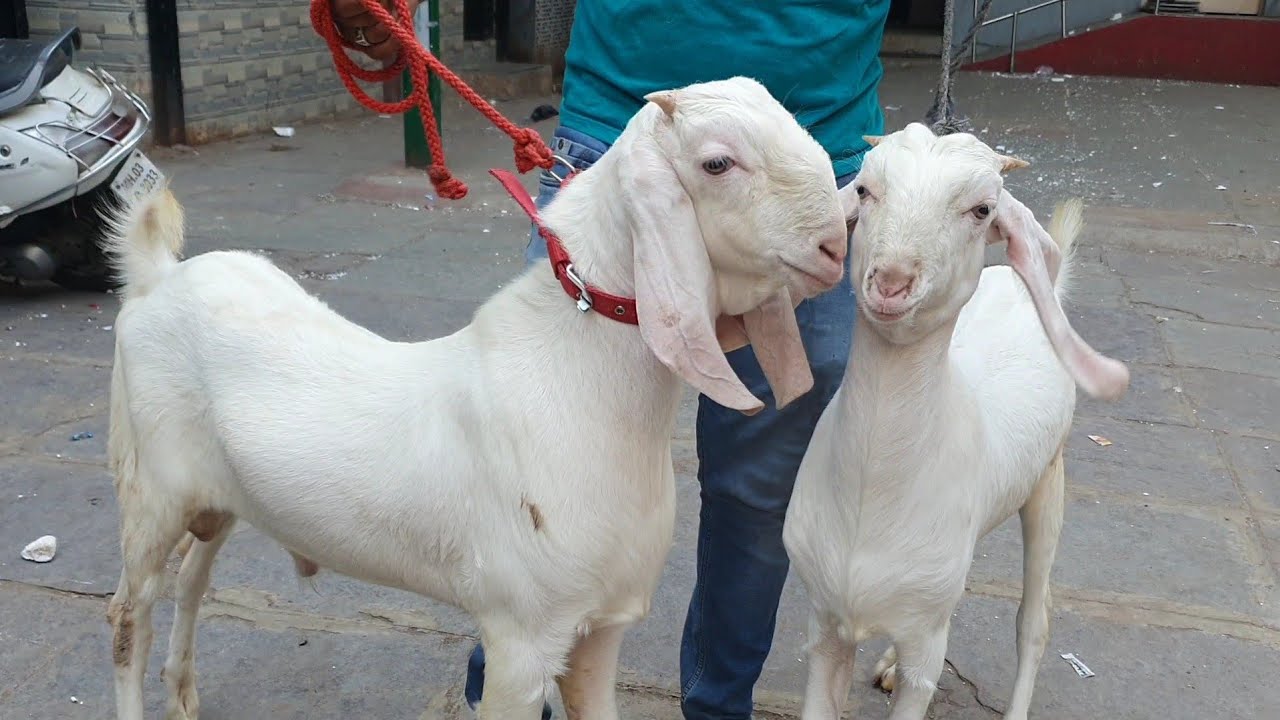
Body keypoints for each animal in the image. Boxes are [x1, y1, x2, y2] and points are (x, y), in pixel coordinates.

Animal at [782, 122, 1130, 720]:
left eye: (982, 209)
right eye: (866, 190)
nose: (891, 281)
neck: (871, 501)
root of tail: (1024, 285)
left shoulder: (923, 653)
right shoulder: (825, 623)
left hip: (1049, 480)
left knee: (1033, 622)